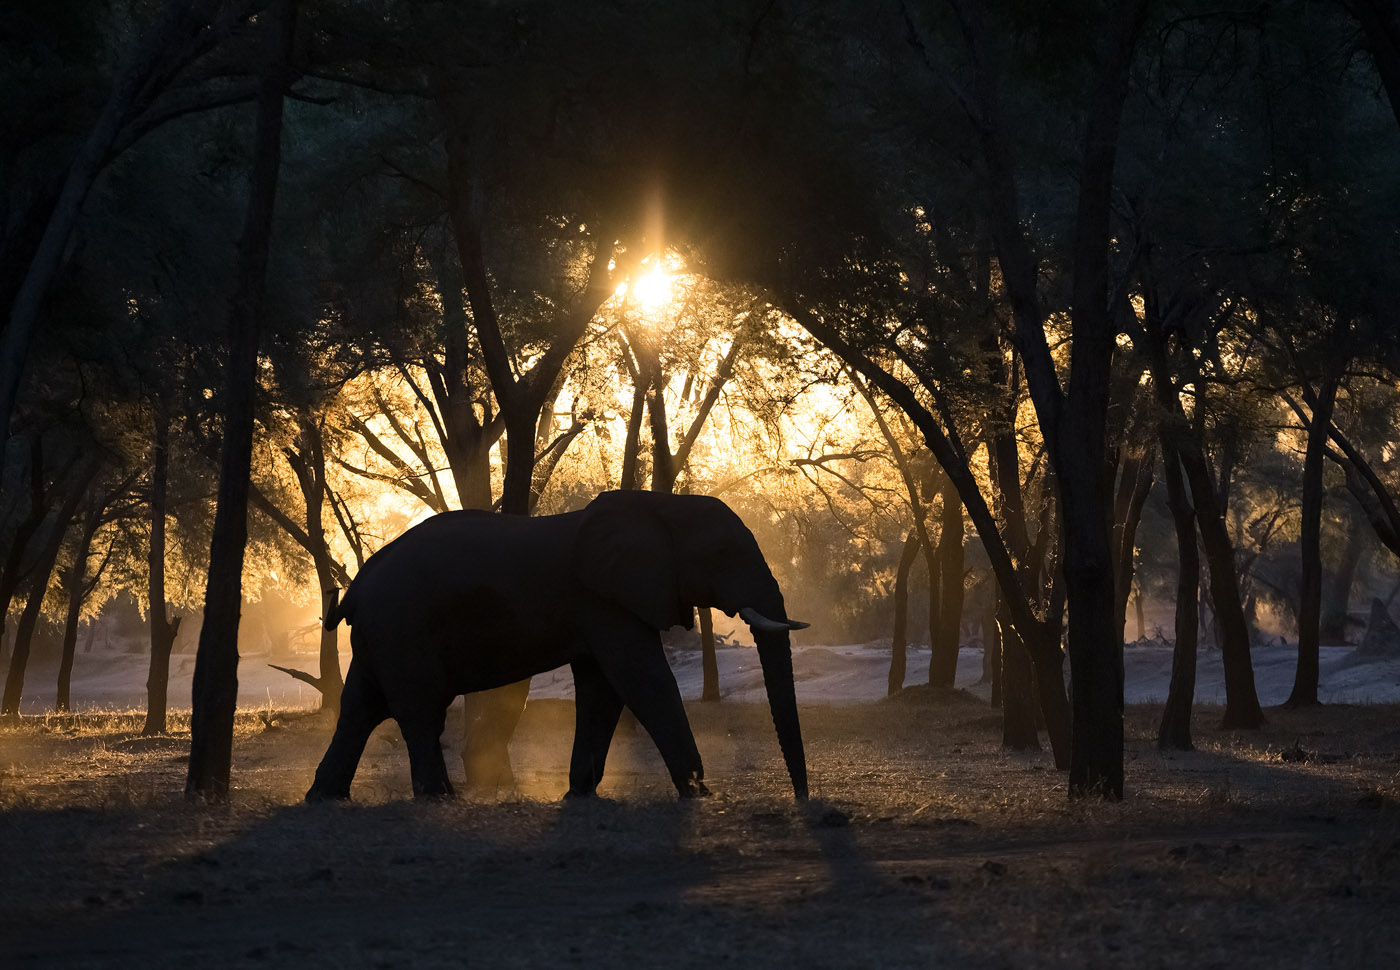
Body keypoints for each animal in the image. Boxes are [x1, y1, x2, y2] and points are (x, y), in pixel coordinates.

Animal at [306, 490, 809, 802]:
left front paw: (579, 794)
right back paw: (439, 800)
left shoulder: (603, 606)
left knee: (359, 710)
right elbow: (643, 680)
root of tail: (357, 585)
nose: (804, 800)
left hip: (382, 636)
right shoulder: (604, 600)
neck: (661, 504)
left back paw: (324, 799)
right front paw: (699, 794)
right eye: (722, 555)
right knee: (420, 713)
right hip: (403, 629)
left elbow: (602, 690)